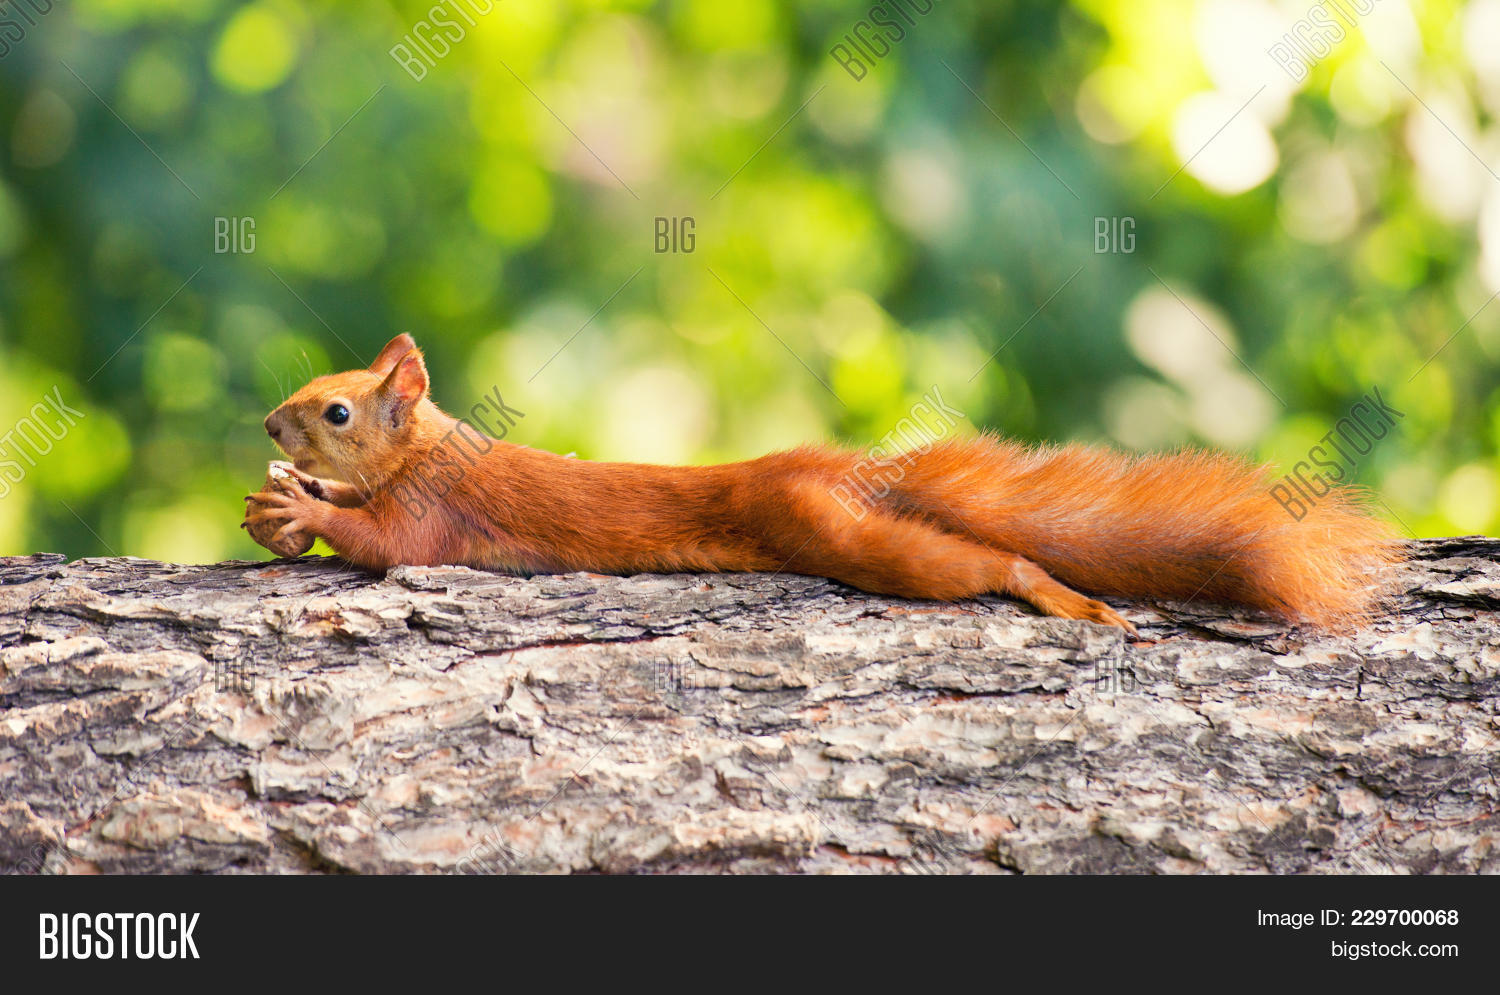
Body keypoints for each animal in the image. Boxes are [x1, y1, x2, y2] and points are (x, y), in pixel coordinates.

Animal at [245, 334, 1402, 634]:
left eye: (337, 410)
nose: (268, 424)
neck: (432, 445)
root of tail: (833, 469)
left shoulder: (432, 512)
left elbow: (388, 545)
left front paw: (299, 501)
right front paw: (280, 502)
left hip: (849, 540)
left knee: (980, 563)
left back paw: (1054, 591)